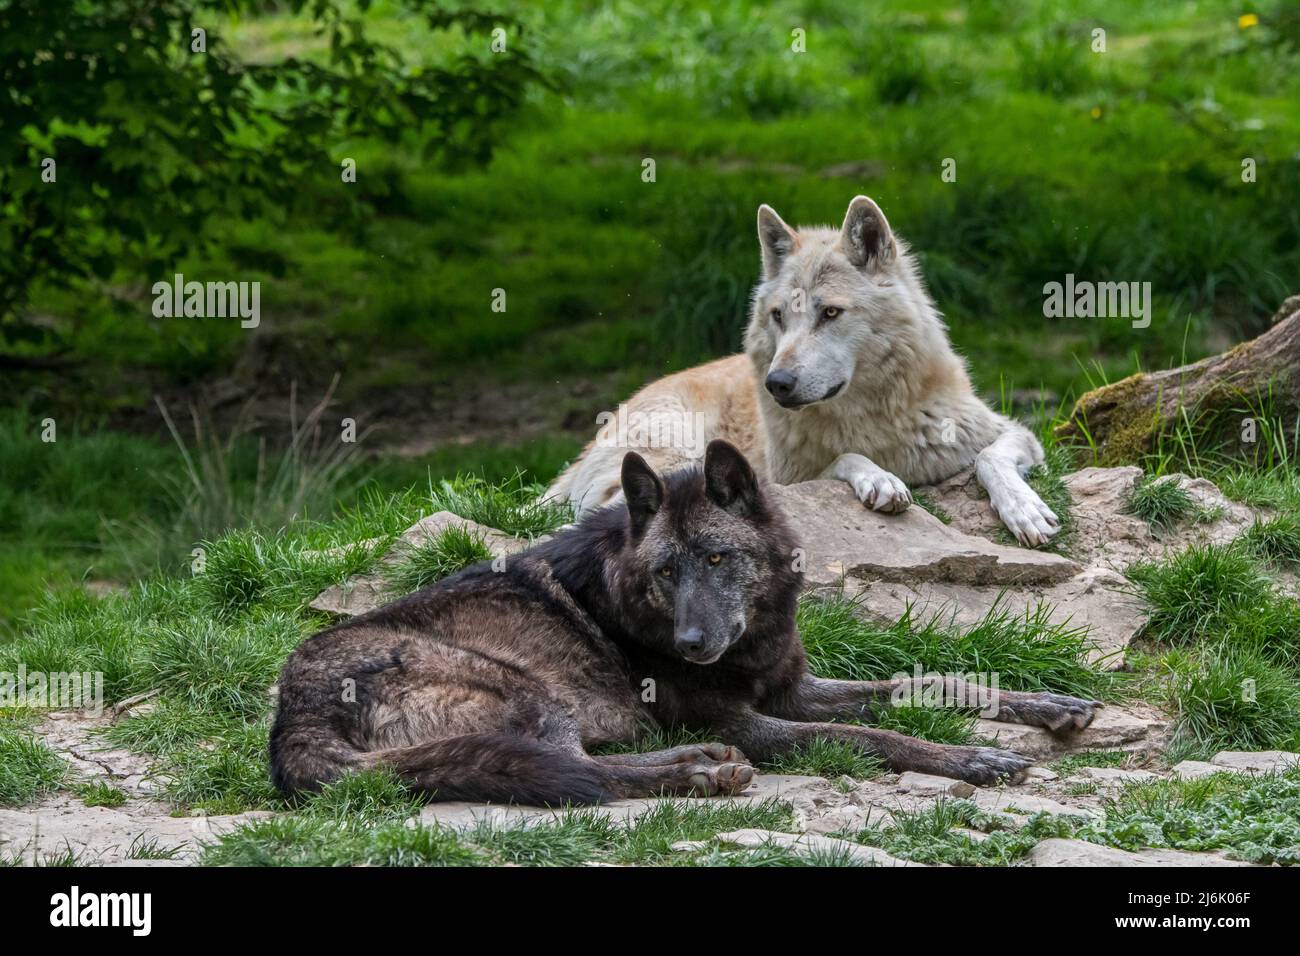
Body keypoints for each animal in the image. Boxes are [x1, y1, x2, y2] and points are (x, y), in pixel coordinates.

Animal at [271, 442, 1098, 803]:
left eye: (717, 558)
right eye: (668, 572)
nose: (693, 644)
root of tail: (289, 725)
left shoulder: (790, 689)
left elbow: (922, 683)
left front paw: (1046, 704)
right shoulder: (754, 720)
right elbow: (872, 735)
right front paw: (973, 759)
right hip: (526, 690)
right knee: (582, 772)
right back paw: (700, 770)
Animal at [546, 196, 1060, 546]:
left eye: (830, 313)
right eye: (779, 316)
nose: (777, 383)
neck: (872, 419)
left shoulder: (1010, 432)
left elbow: (990, 457)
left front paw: (1025, 510)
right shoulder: (781, 478)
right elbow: (844, 459)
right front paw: (880, 479)